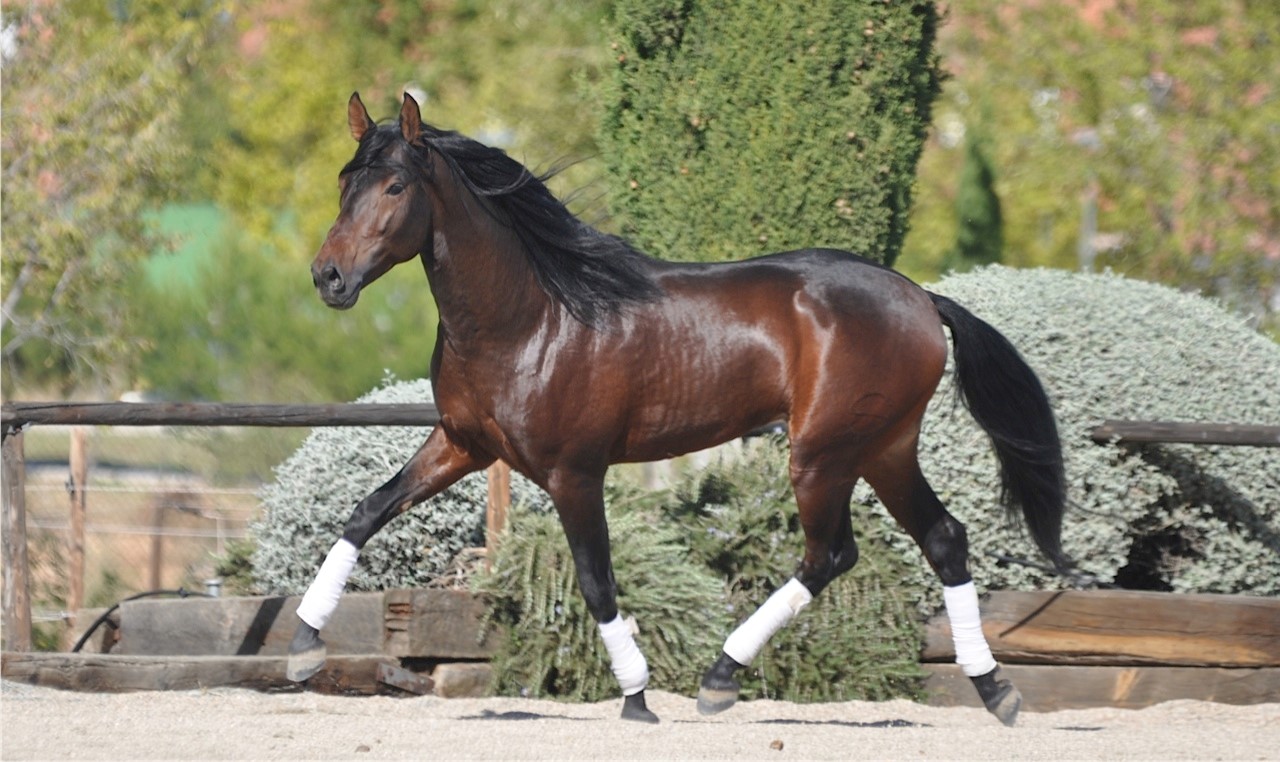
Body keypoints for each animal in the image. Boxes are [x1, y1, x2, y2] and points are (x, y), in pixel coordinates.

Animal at [287, 92, 1067, 726]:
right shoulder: (462, 443)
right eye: (345, 181)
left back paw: (721, 677)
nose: (328, 278)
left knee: (831, 553)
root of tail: (921, 298)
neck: (531, 317)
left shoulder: (575, 472)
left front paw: (636, 695)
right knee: (942, 539)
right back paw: (995, 690)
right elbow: (366, 511)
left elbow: (597, 580)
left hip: (824, 453)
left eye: (394, 184)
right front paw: (301, 645)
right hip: (884, 447)